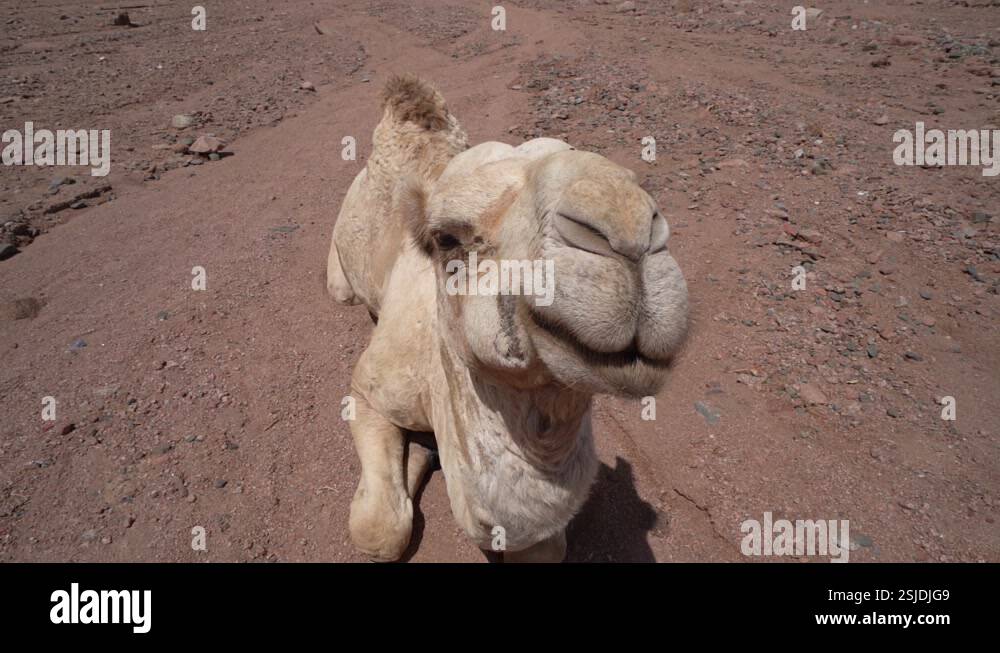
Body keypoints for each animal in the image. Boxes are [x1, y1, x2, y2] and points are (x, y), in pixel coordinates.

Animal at [326, 75, 688, 562]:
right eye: (447, 239)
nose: (627, 223)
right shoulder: (368, 389)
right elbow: (378, 530)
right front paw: (419, 455)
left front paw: (421, 455)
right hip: (342, 279)